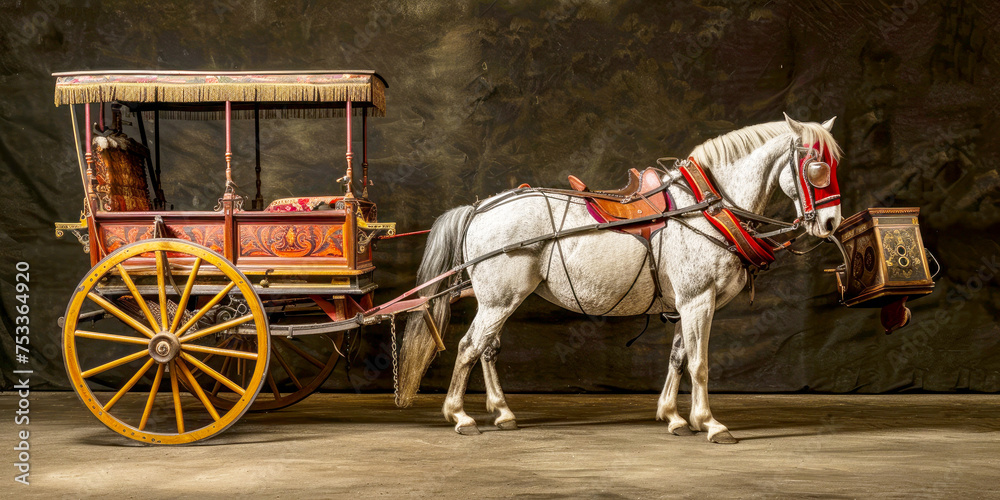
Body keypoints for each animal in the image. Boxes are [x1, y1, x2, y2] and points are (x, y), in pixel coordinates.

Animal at [396, 114, 843, 444]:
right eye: (817, 168)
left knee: (487, 348)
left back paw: (502, 411)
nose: (830, 222)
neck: (706, 208)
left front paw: (673, 416)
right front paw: (709, 422)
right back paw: (459, 415)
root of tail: (479, 208)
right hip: (499, 299)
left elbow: (678, 356)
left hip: (500, 299)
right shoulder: (698, 298)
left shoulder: (687, 302)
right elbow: (699, 363)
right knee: (470, 346)